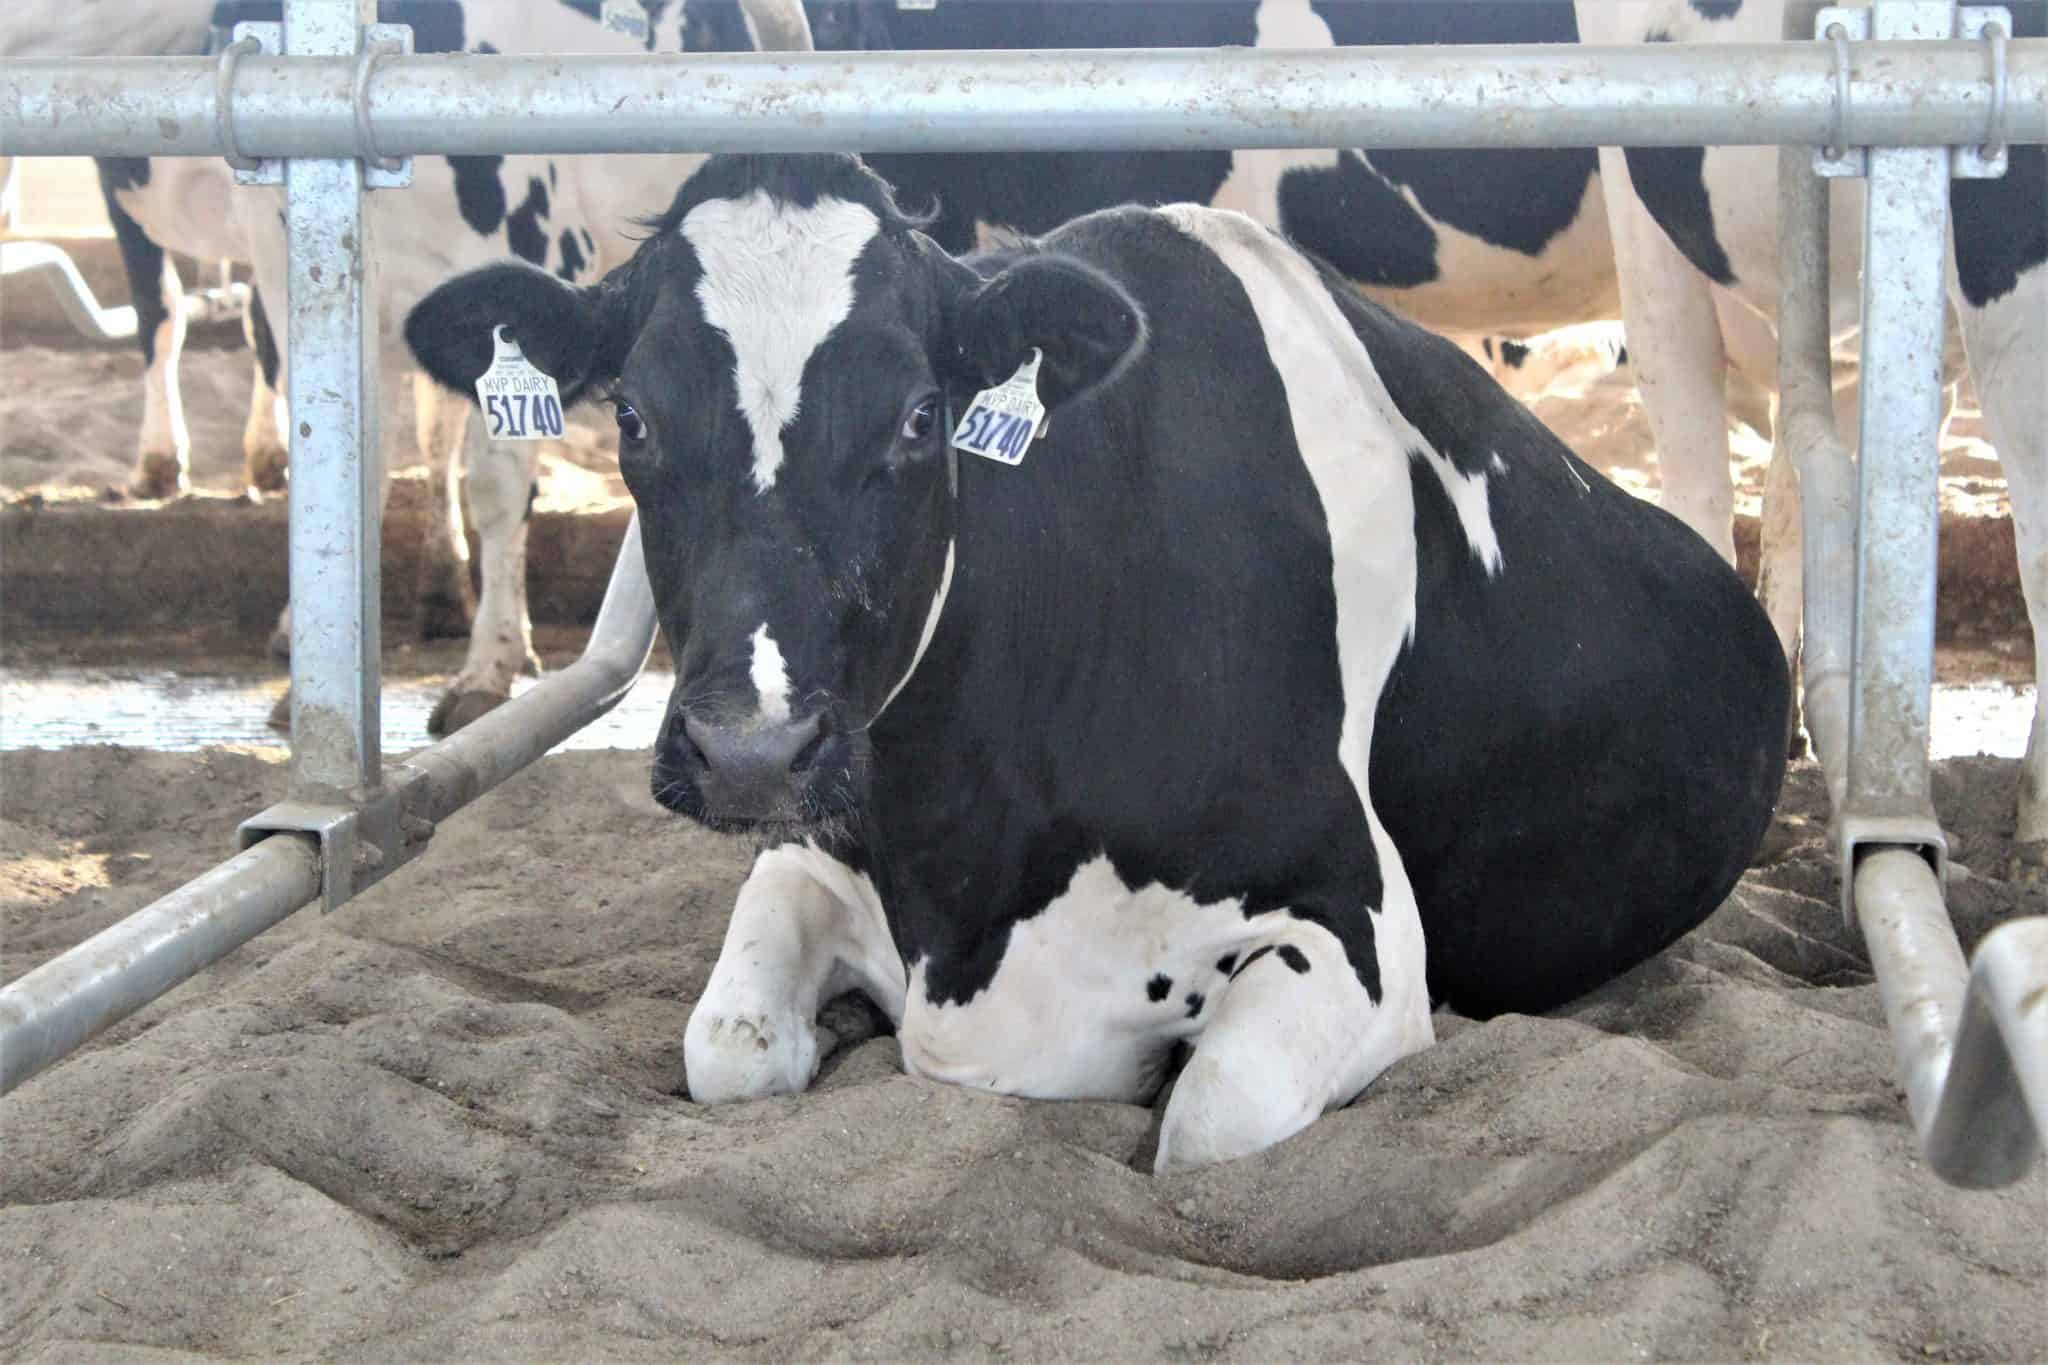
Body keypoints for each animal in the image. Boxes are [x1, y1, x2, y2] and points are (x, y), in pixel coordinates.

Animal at [403, 154, 1791, 1170]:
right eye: (633, 417)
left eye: (919, 417)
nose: (751, 751)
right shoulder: (814, 844)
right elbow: (728, 1048)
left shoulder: (1354, 924)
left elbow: (1208, 1119)